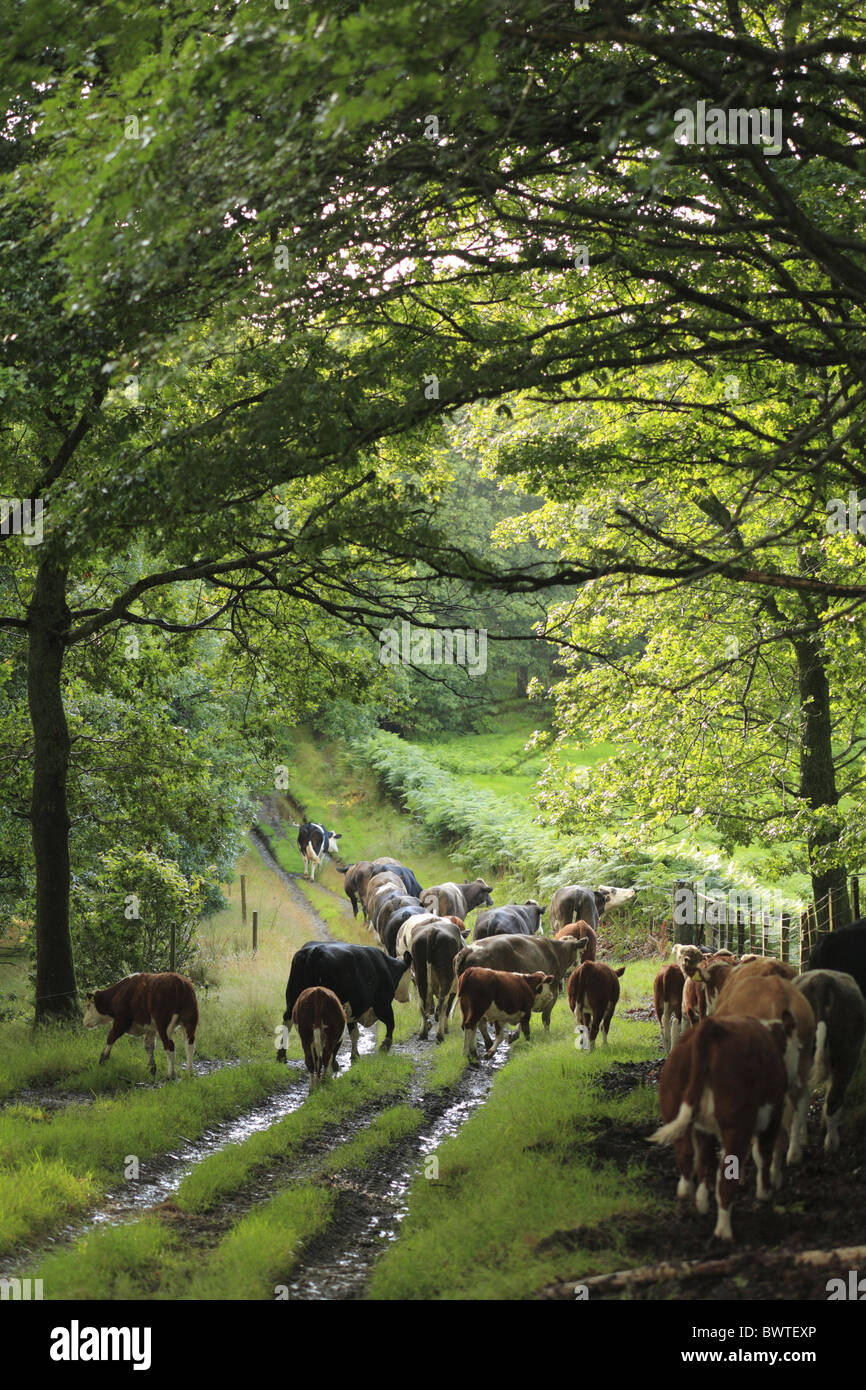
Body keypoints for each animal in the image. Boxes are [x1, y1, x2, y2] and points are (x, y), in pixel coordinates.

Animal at [275, 942, 411, 1061]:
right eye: (411, 977)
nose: (408, 997)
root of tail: (314, 951)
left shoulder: (354, 1009)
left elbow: (354, 1033)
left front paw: (355, 1055)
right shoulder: (383, 1004)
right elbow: (391, 1023)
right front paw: (385, 1046)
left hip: (292, 998)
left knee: (287, 1021)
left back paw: (282, 1055)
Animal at [453, 934, 587, 1033]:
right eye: (580, 952)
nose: (581, 964)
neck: (557, 952)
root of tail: (469, 949)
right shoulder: (552, 994)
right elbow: (546, 1018)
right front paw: (547, 1034)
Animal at [649, 1014, 794, 1241]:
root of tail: (711, 1029)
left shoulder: (703, 1130)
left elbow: (706, 1160)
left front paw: (702, 1200)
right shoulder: (773, 1116)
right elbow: (762, 1154)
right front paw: (764, 1192)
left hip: (673, 1104)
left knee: (688, 1155)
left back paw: (690, 1199)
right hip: (736, 1125)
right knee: (726, 1176)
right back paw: (724, 1231)